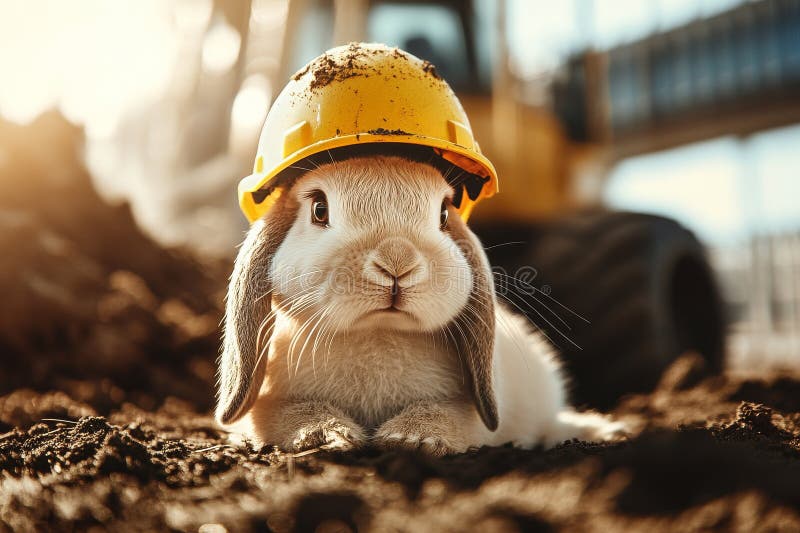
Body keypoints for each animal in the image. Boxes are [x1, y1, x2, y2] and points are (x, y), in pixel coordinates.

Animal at [216, 155, 625, 455]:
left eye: (443, 214)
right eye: (319, 209)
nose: (397, 261)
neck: (378, 333)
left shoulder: (467, 409)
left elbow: (447, 415)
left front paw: (409, 439)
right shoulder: (264, 407)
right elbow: (291, 412)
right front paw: (328, 435)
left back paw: (603, 430)